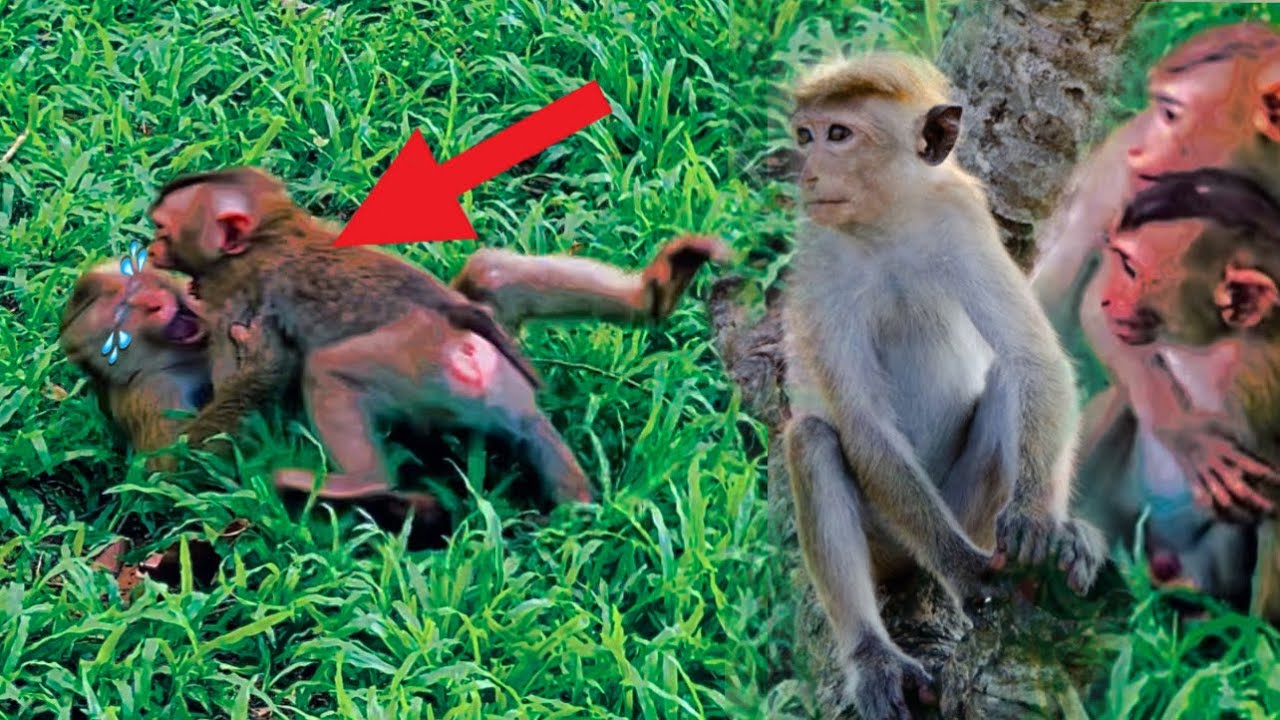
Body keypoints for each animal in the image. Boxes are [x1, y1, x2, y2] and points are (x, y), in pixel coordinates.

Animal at [779, 52, 1104, 719]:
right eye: (806, 135)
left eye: (838, 134)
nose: (810, 173)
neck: (886, 227)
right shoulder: (820, 257)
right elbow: (863, 424)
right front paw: (966, 573)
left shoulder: (962, 220)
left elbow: (1033, 358)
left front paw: (1041, 522)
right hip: (890, 536)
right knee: (814, 440)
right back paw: (873, 656)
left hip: (967, 504)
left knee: (1007, 382)